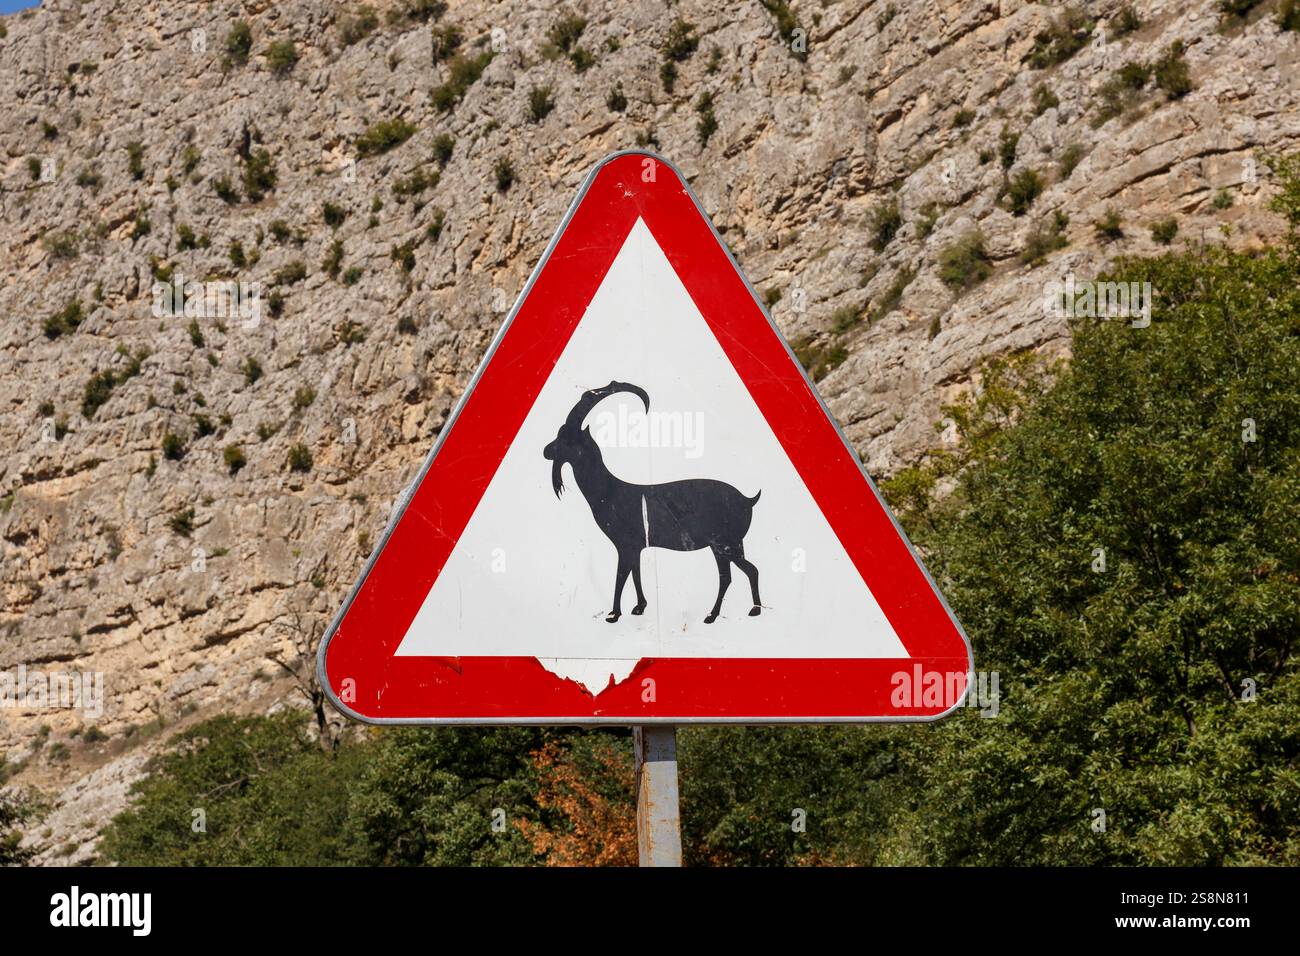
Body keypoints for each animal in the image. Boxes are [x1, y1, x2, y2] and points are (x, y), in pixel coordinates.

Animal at [543, 381, 762, 624]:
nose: (546, 451)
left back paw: (751, 610)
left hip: (728, 543)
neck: (609, 491)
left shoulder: (625, 544)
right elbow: (636, 573)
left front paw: (614, 614)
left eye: (569, 439)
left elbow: (622, 576)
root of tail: (748, 500)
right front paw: (639, 607)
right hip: (722, 546)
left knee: (748, 571)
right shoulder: (636, 547)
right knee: (729, 576)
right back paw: (713, 615)